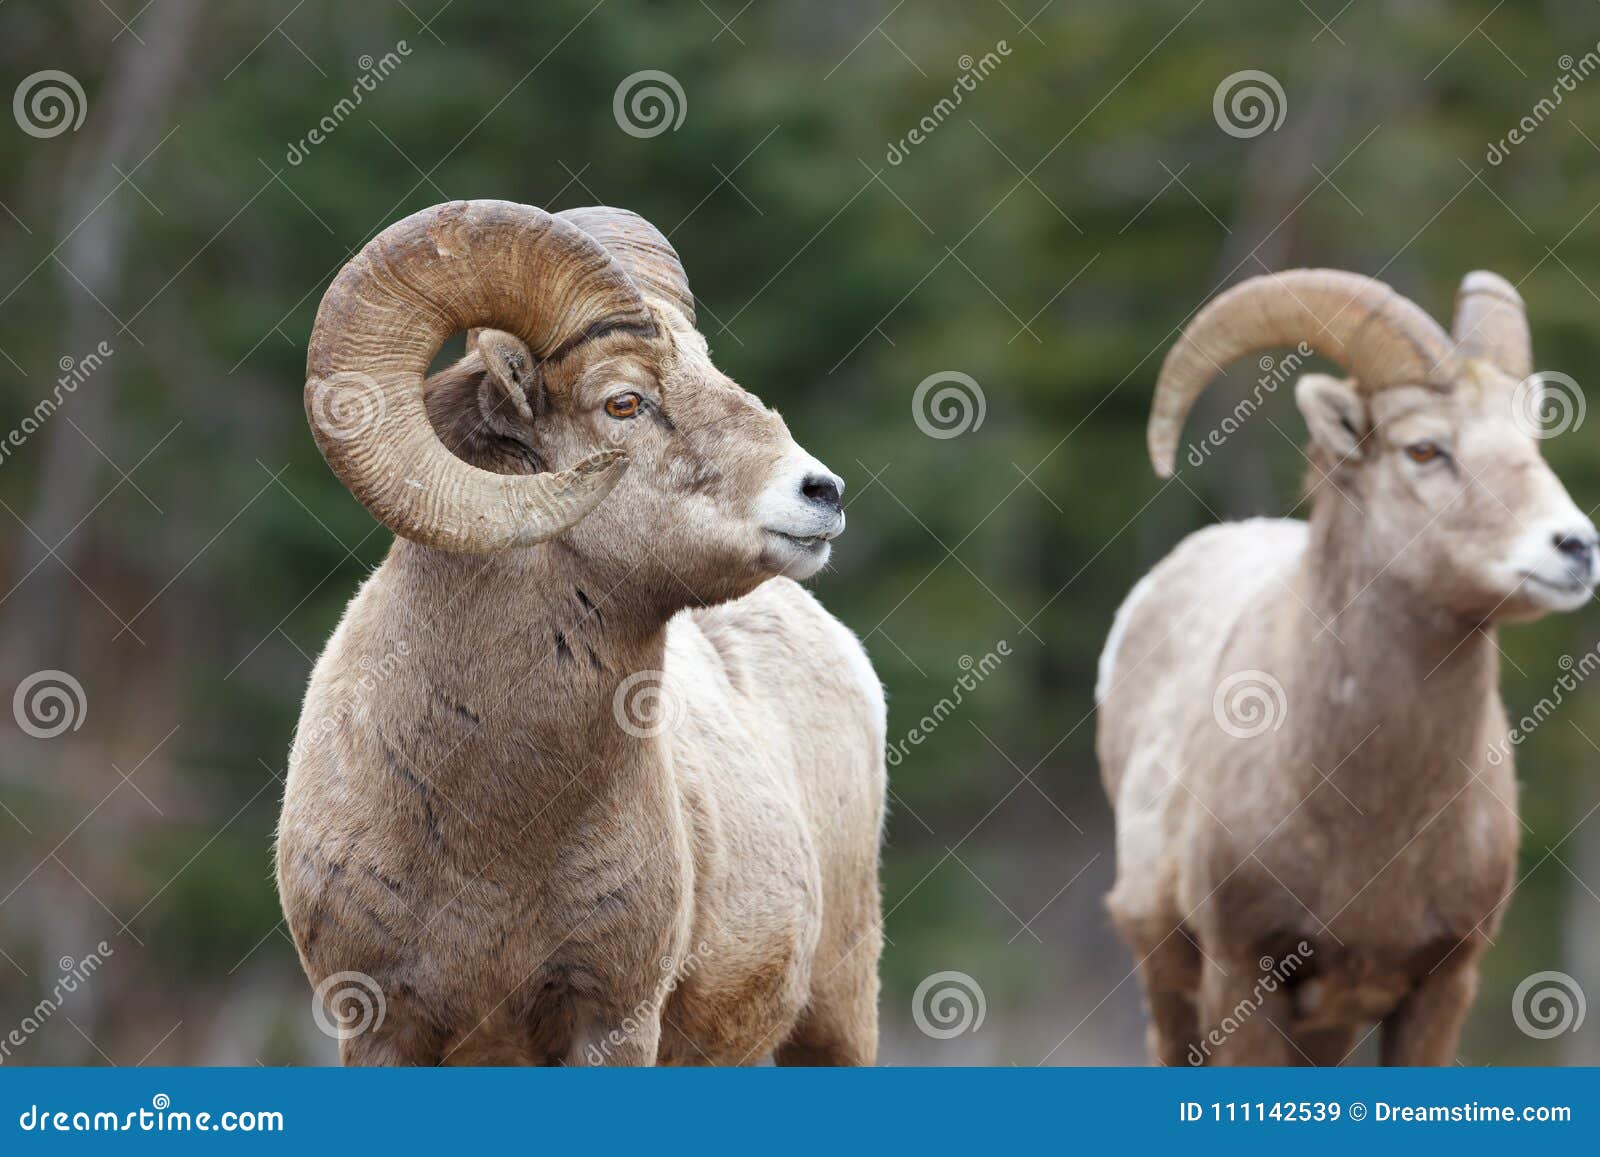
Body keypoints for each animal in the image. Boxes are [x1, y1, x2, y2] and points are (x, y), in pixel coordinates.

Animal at [275, 200, 886, 1066]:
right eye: (624, 402)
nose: (820, 492)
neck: (488, 833)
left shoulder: (614, 1018)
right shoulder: (380, 1026)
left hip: (837, 1015)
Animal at [1096, 269, 1597, 1066]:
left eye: (1531, 440)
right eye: (1423, 449)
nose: (1575, 546)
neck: (1372, 820)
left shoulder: (1442, 986)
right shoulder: (1240, 977)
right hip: (1165, 981)